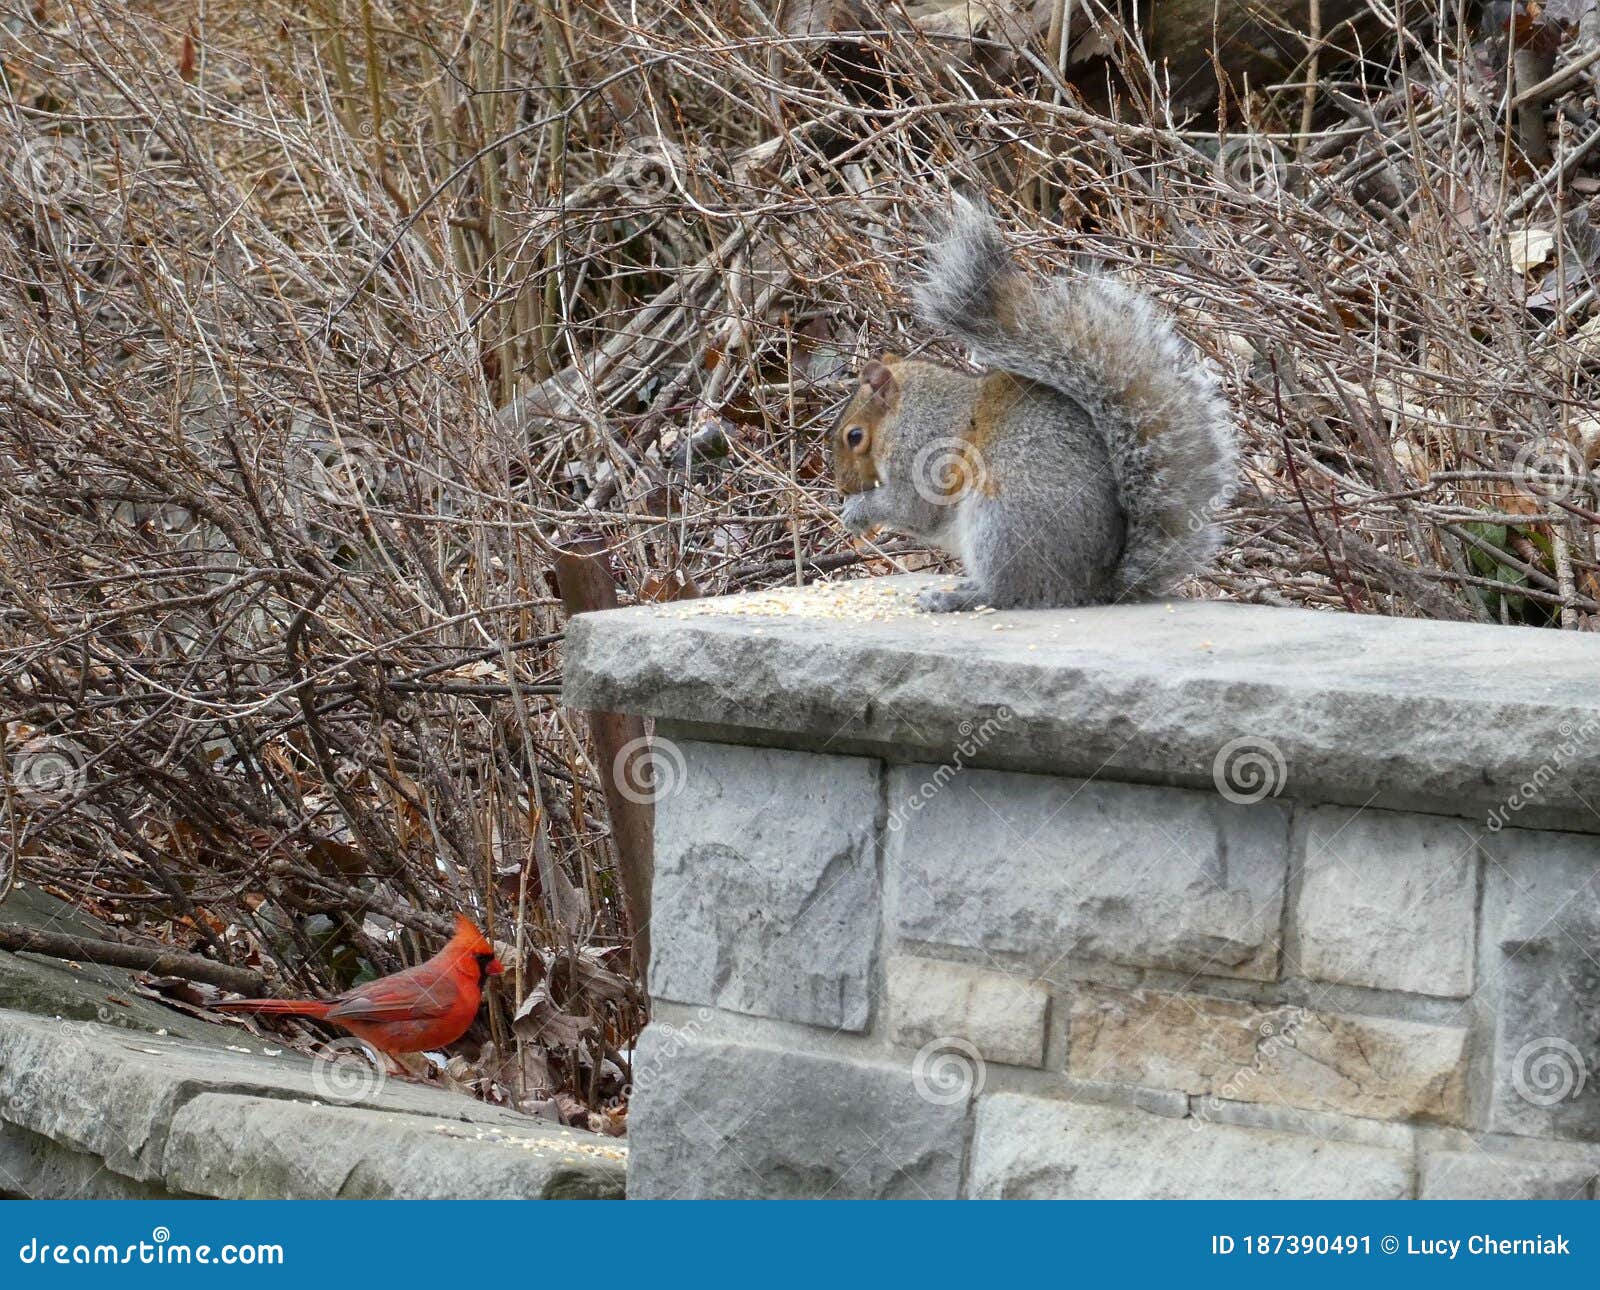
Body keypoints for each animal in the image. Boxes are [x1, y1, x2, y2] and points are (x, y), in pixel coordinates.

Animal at [832, 197, 1238, 613]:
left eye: (854, 436)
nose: (842, 488)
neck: (908, 412)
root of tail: (1088, 588)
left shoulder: (923, 453)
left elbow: (911, 509)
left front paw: (858, 511)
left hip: (1000, 523)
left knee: (1009, 593)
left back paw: (953, 598)